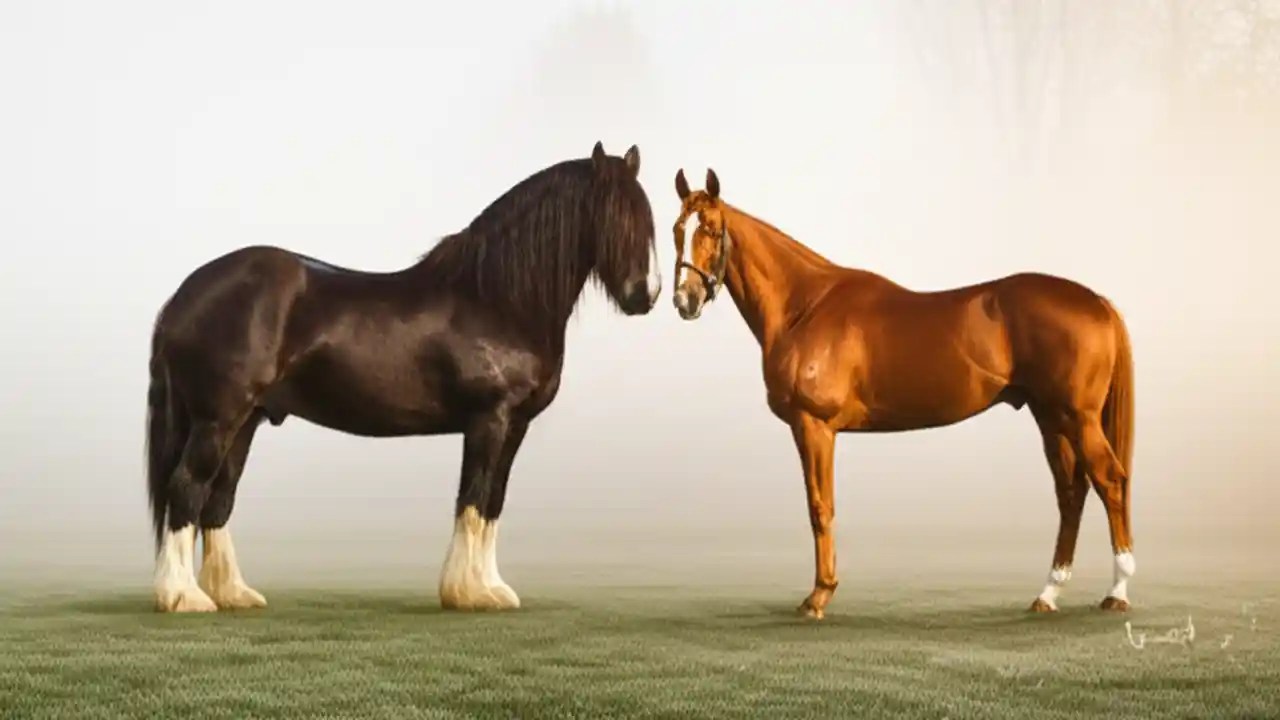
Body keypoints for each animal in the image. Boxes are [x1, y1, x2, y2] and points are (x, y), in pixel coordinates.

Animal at [145, 141, 661, 613]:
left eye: (648, 220)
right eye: (614, 218)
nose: (646, 294)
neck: (496, 299)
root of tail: (183, 297)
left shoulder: (516, 426)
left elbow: (493, 502)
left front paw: (493, 588)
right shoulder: (487, 420)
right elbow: (472, 499)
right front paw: (468, 593)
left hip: (245, 421)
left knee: (218, 498)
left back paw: (232, 594)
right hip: (218, 419)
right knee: (186, 486)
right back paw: (184, 597)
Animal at [669, 168, 1135, 620]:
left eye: (711, 228)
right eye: (677, 229)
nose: (684, 300)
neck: (806, 307)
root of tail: (1097, 302)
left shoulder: (814, 426)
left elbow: (820, 508)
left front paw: (819, 596)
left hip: (1077, 417)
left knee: (1109, 481)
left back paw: (1117, 592)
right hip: (1050, 417)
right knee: (1071, 493)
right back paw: (1048, 594)